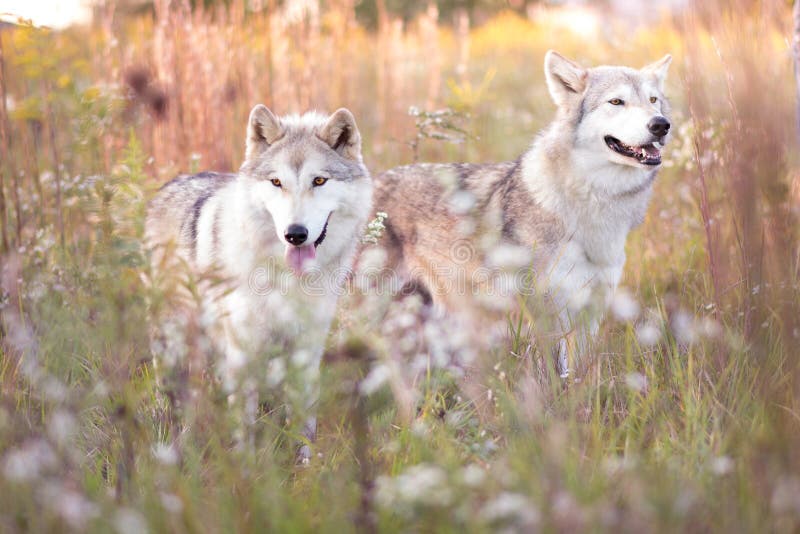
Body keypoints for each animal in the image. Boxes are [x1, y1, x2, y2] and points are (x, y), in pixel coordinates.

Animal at [146, 105, 372, 458]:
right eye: (276, 182)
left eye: (319, 180)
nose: (295, 234)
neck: (286, 279)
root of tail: (173, 182)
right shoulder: (243, 352)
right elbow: (245, 424)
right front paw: (247, 466)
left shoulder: (307, 350)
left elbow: (303, 420)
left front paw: (305, 465)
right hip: (174, 340)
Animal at [374, 51, 672, 376]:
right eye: (617, 101)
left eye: (653, 100)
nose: (661, 125)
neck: (595, 203)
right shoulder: (546, 316)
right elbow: (554, 377)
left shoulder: (591, 311)